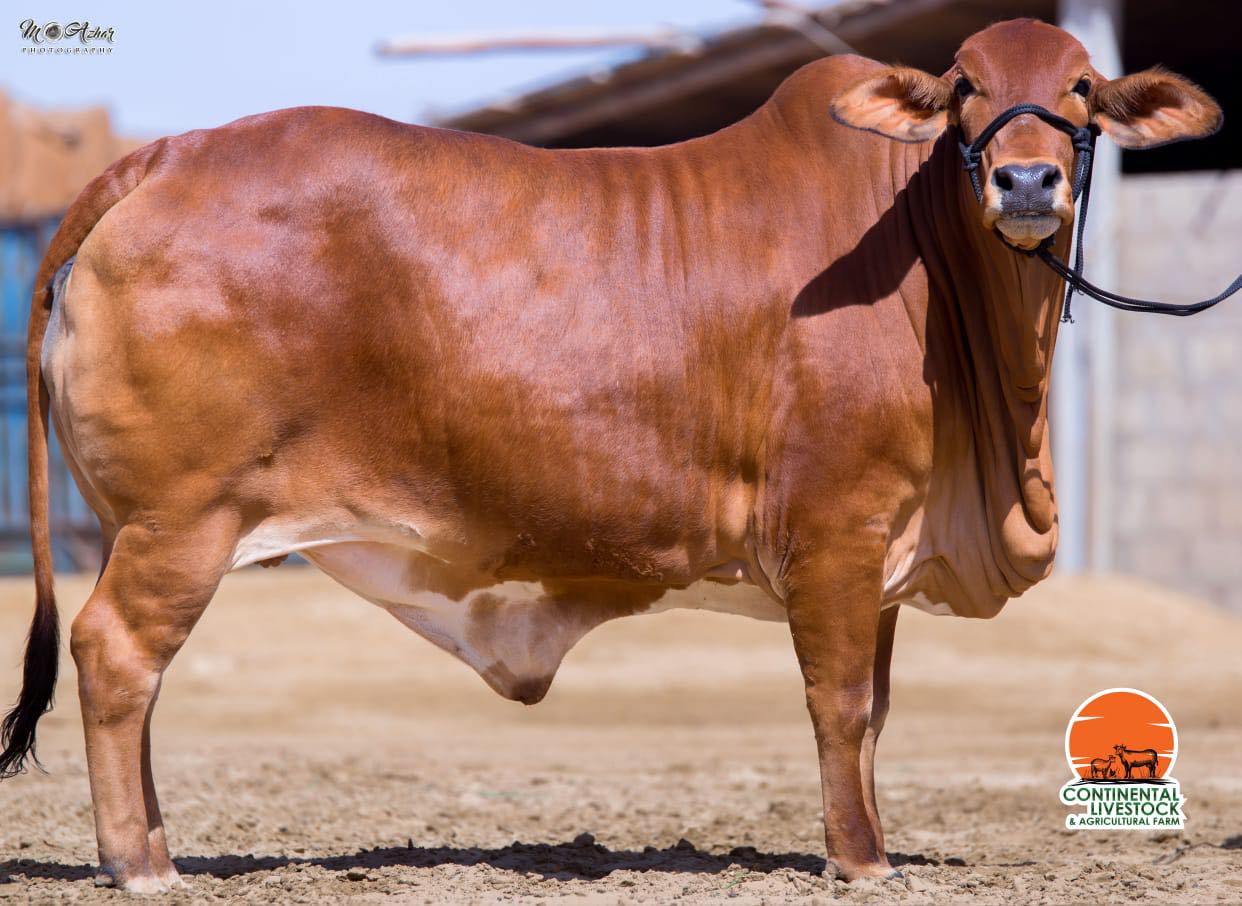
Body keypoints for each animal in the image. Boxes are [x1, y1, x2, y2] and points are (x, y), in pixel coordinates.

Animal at [0, 18, 1221, 893]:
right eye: (965, 84)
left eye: (1081, 88)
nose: (1027, 182)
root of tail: (164, 156)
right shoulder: (837, 528)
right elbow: (837, 704)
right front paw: (862, 862)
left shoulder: (880, 550)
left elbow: (872, 712)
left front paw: (868, 843)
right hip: (181, 522)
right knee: (116, 658)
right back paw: (142, 866)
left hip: (147, 527)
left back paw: (156, 845)